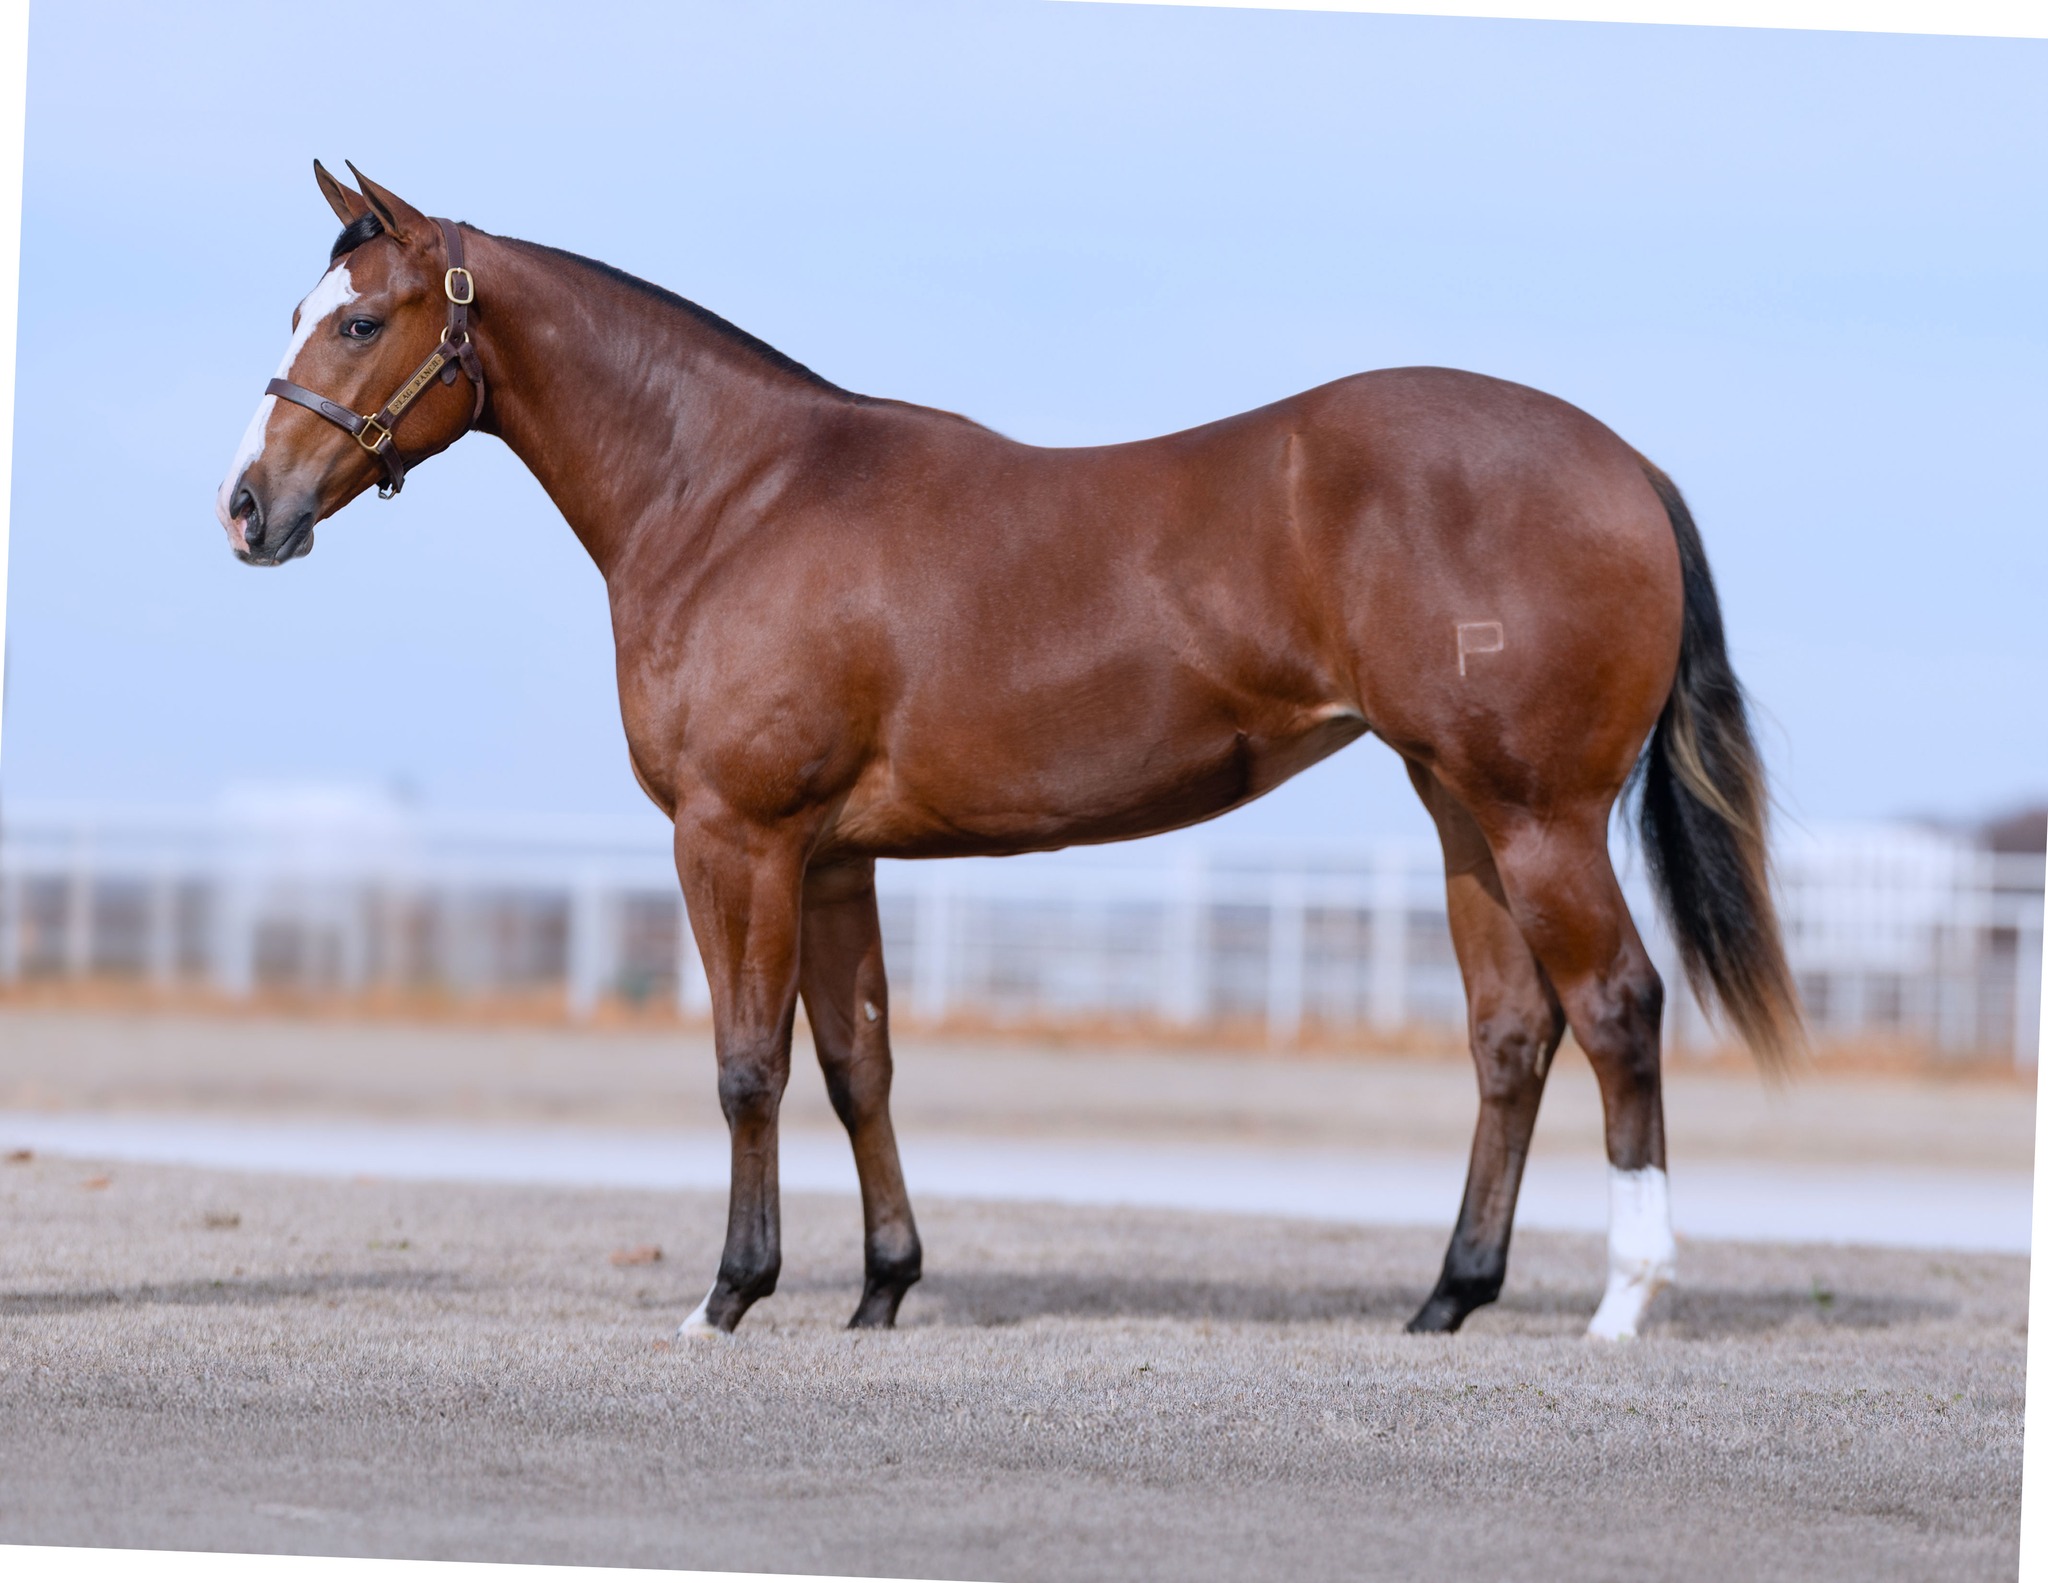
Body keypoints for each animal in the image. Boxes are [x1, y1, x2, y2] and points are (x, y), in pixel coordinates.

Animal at [215, 163, 1801, 1342]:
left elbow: (746, 1061)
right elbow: (856, 1059)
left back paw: (1624, 1300)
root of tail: (1621, 463)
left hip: (1540, 813)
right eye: (301, 306)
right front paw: (880, 1288)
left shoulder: (735, 834)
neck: (733, 494)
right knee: (1512, 1033)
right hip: (1461, 808)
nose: (246, 508)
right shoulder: (833, 853)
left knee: (1619, 1007)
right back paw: (1446, 1297)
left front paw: (730, 1293)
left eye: (359, 323)